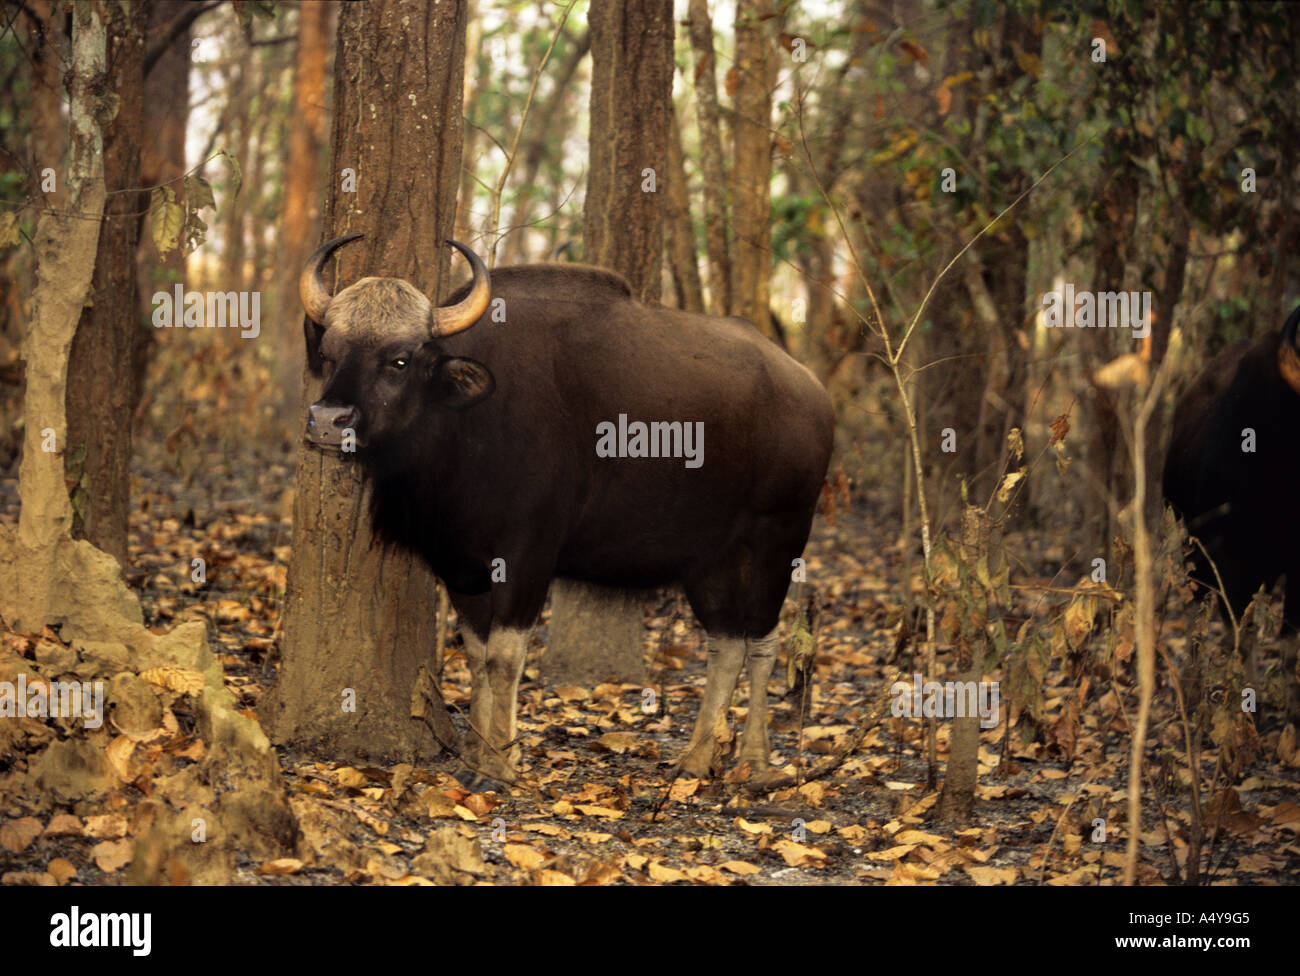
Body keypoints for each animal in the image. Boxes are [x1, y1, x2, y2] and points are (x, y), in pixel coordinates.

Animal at [299, 235, 835, 779]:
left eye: (401, 360)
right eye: (328, 353)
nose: (327, 421)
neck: (466, 423)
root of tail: (811, 391)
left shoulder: (528, 555)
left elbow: (504, 657)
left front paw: (501, 760)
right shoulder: (460, 564)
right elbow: (476, 655)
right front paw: (476, 749)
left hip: (779, 538)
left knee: (763, 641)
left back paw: (754, 758)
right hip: (710, 562)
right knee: (727, 644)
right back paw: (698, 756)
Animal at [1163, 304, 1300, 722]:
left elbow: (1289, 641)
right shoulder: (1228, 559)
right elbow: (1243, 635)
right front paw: (1247, 709)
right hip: (1191, 547)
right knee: (1198, 613)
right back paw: (1193, 690)